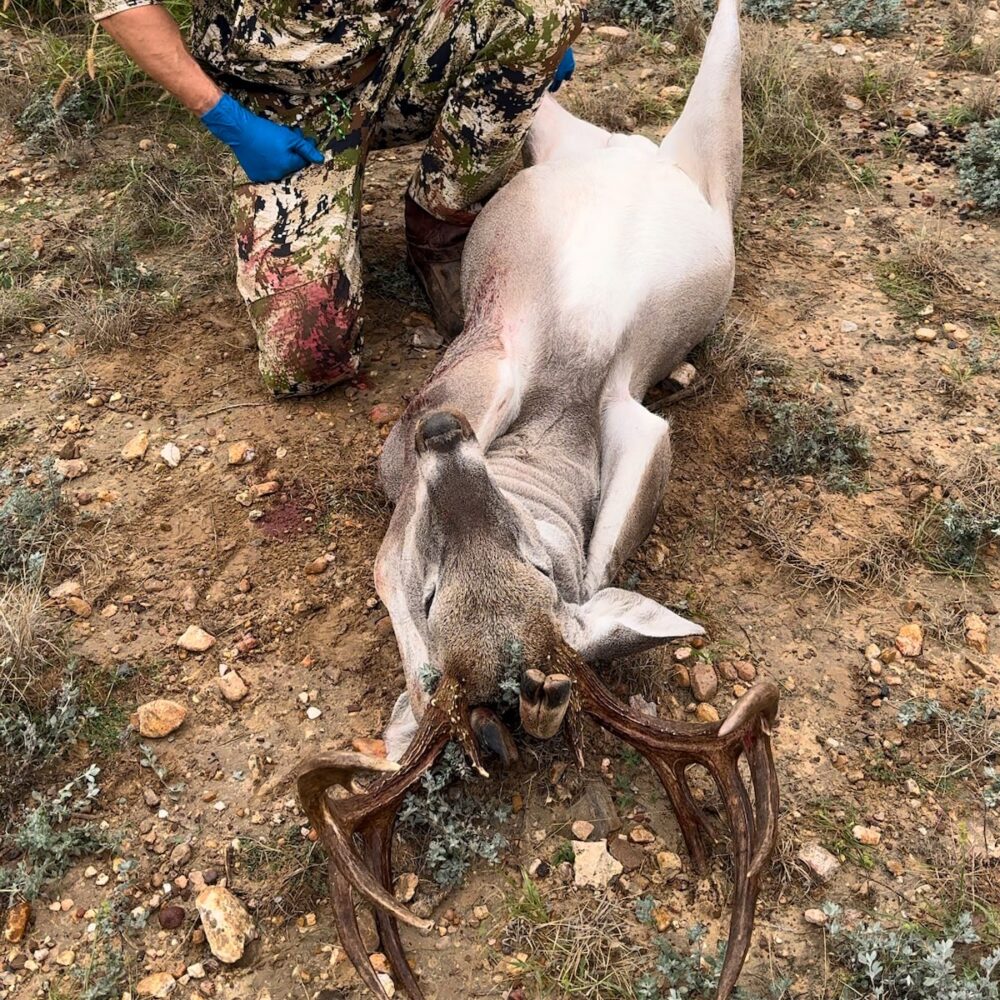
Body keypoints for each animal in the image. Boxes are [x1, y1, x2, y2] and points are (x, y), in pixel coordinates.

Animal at [295, 0, 780, 996]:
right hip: (593, 148)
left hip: (683, 165)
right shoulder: (466, 385)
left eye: (528, 556)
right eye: (438, 588)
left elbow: (613, 529)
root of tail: (635, 152)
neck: (560, 400)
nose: (447, 439)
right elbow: (387, 549)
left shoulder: (621, 416)